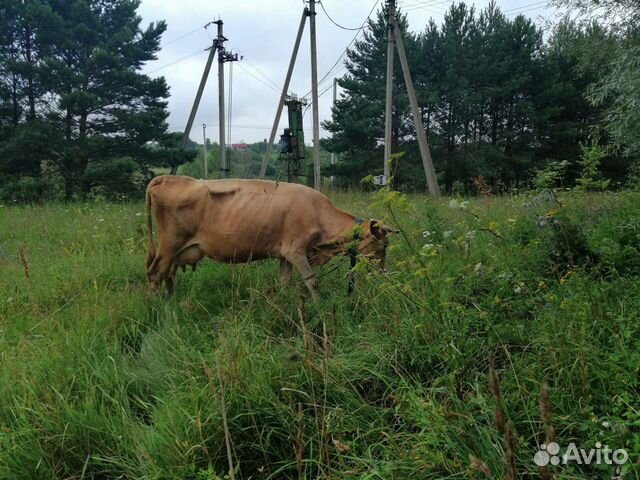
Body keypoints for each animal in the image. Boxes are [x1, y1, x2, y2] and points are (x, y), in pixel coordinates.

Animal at [145, 175, 396, 299]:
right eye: (382, 246)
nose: (384, 272)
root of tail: (167, 178)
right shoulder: (296, 250)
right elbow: (312, 281)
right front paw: (320, 306)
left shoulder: (284, 254)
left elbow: (284, 282)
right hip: (169, 244)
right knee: (155, 273)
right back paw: (158, 306)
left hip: (176, 250)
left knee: (168, 275)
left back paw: (171, 300)